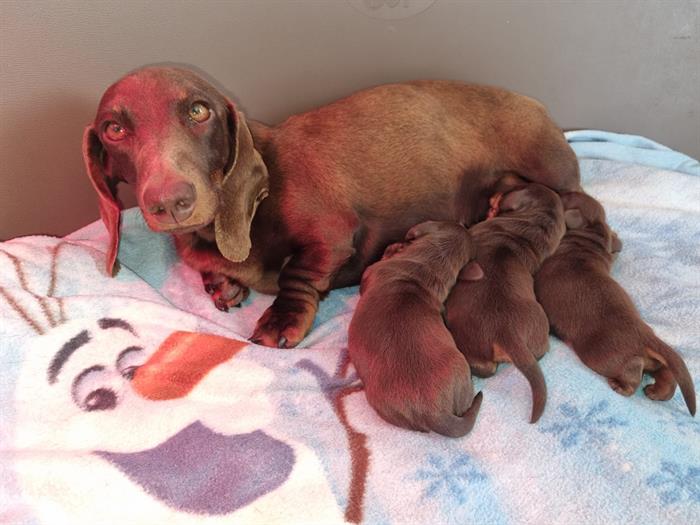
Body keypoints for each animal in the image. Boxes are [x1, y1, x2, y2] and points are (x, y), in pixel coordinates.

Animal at [536, 191, 696, 414]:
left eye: (566, 197)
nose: (558, 191)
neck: (587, 242)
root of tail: (645, 336)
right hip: (653, 361)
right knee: (665, 372)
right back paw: (657, 392)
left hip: (601, 354)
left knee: (633, 370)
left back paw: (622, 385)